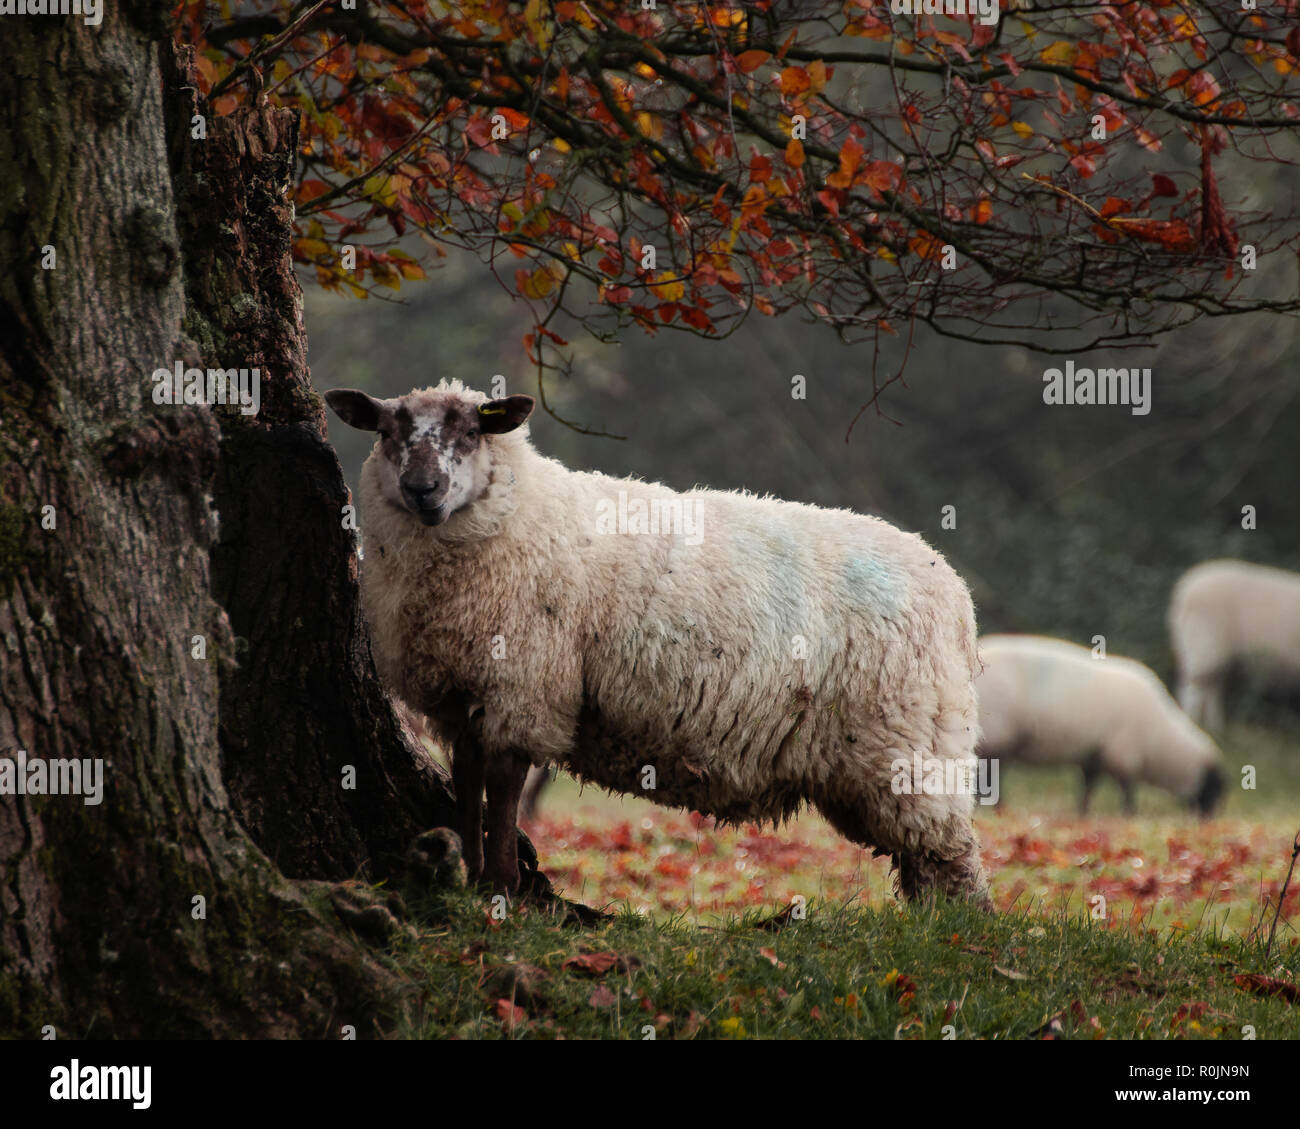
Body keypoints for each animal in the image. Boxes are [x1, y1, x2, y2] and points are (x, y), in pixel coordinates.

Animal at [324, 380, 992, 908]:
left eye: (469, 431)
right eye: (387, 431)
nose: (424, 488)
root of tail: (952, 588)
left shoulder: (527, 683)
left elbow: (506, 781)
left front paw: (500, 887)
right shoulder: (461, 690)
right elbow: (467, 776)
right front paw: (467, 869)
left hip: (909, 738)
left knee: (950, 854)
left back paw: (957, 933)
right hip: (871, 757)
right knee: (918, 856)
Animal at [974, 634, 1224, 816]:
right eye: (1212, 788)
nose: (1208, 820)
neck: (1159, 739)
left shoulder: (1094, 753)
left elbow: (1088, 786)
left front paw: (1083, 812)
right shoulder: (1123, 752)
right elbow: (1127, 788)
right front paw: (1129, 814)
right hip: (995, 734)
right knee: (987, 778)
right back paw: (995, 808)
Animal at [1169, 559, 1300, 730]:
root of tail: (1184, 590)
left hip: (1196, 647)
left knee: (1208, 688)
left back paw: (1214, 727)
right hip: (1206, 641)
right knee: (1194, 692)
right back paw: (1195, 725)